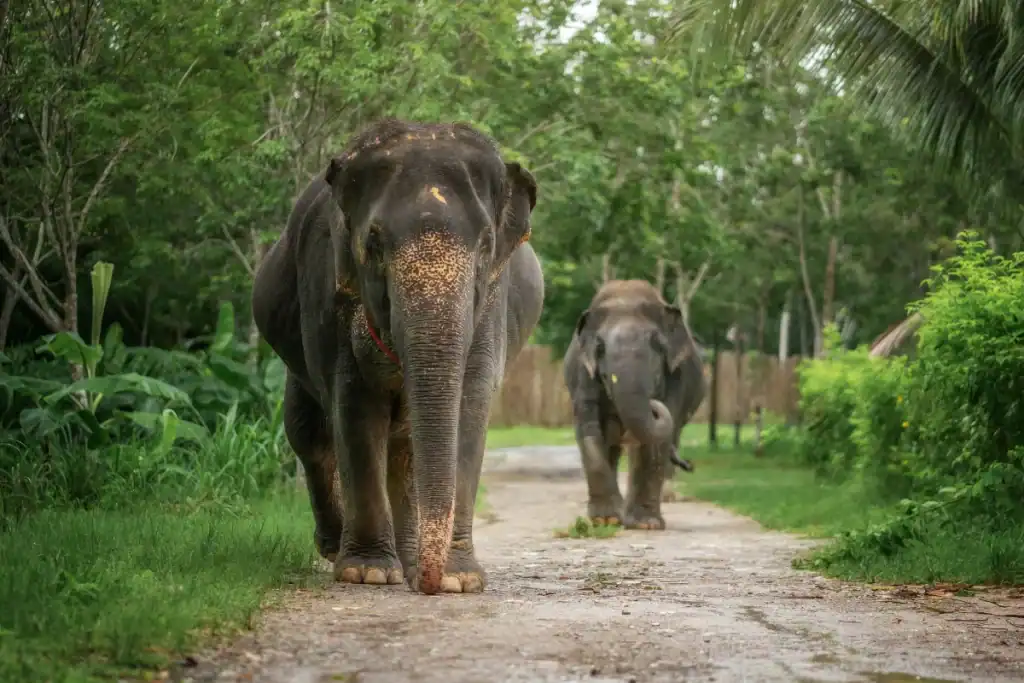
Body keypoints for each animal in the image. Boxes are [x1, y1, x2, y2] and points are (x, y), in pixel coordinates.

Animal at [251, 119, 544, 595]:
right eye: (373, 242)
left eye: (486, 244)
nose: (429, 584)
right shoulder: (329, 295)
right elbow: (354, 408)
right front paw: (367, 573)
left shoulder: (491, 307)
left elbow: (468, 409)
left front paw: (459, 580)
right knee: (308, 432)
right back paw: (338, 548)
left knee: (402, 445)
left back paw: (407, 561)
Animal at [562, 279, 706, 530]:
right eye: (599, 348)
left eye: (659, 346)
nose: (690, 465)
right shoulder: (583, 374)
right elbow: (589, 430)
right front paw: (605, 520)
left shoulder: (676, 377)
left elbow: (656, 442)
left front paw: (645, 525)